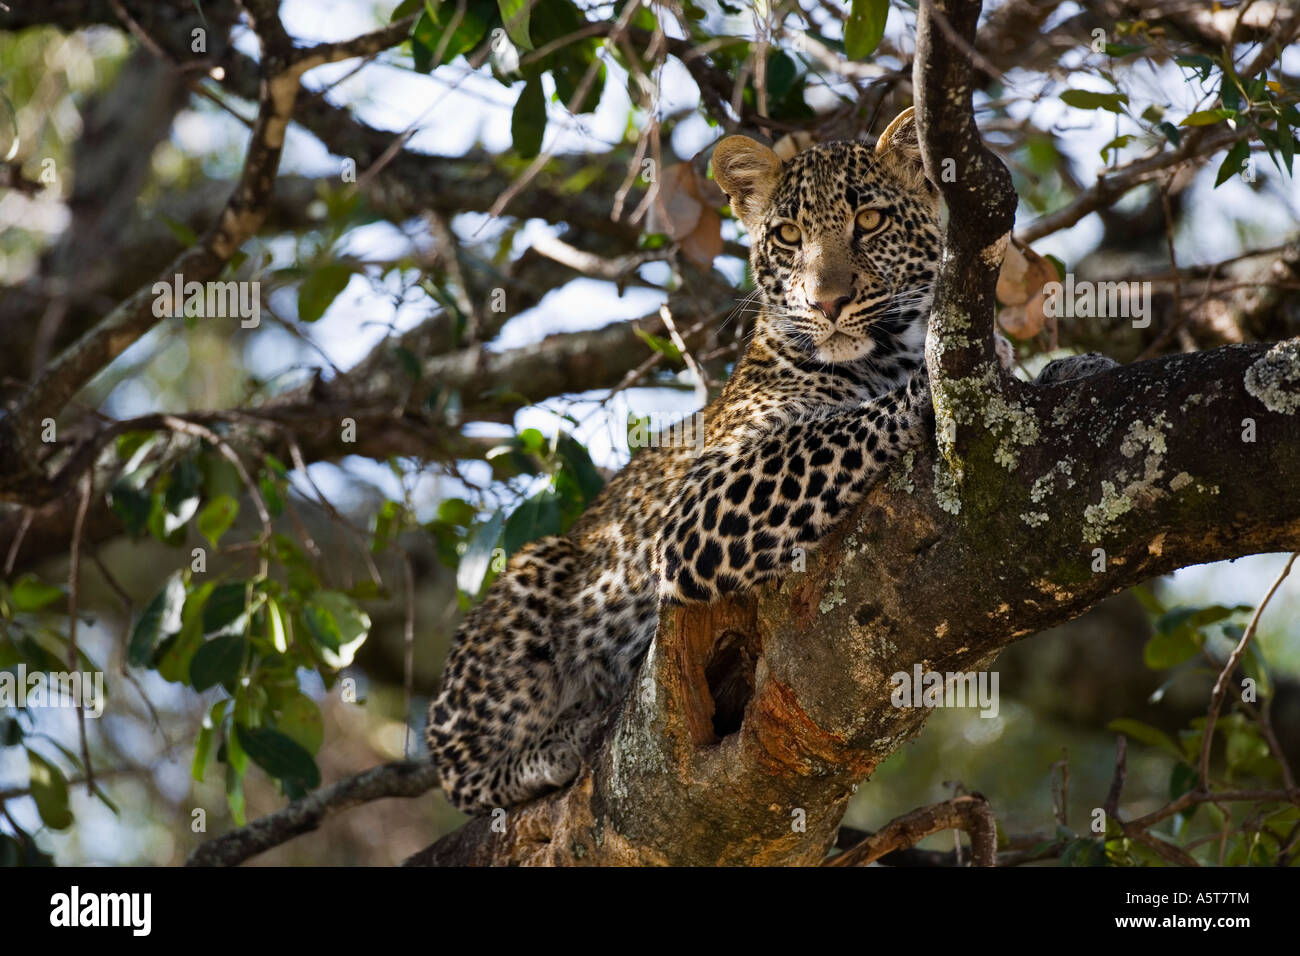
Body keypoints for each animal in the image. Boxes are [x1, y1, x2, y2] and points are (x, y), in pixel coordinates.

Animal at [425, 108, 1115, 815]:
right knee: (459, 771)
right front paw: (958, 374)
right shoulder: (699, 506)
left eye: (871, 220)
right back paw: (559, 742)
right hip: (537, 568)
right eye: (787, 235)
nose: (826, 303)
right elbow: (839, 428)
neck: (886, 353)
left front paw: (1076, 366)